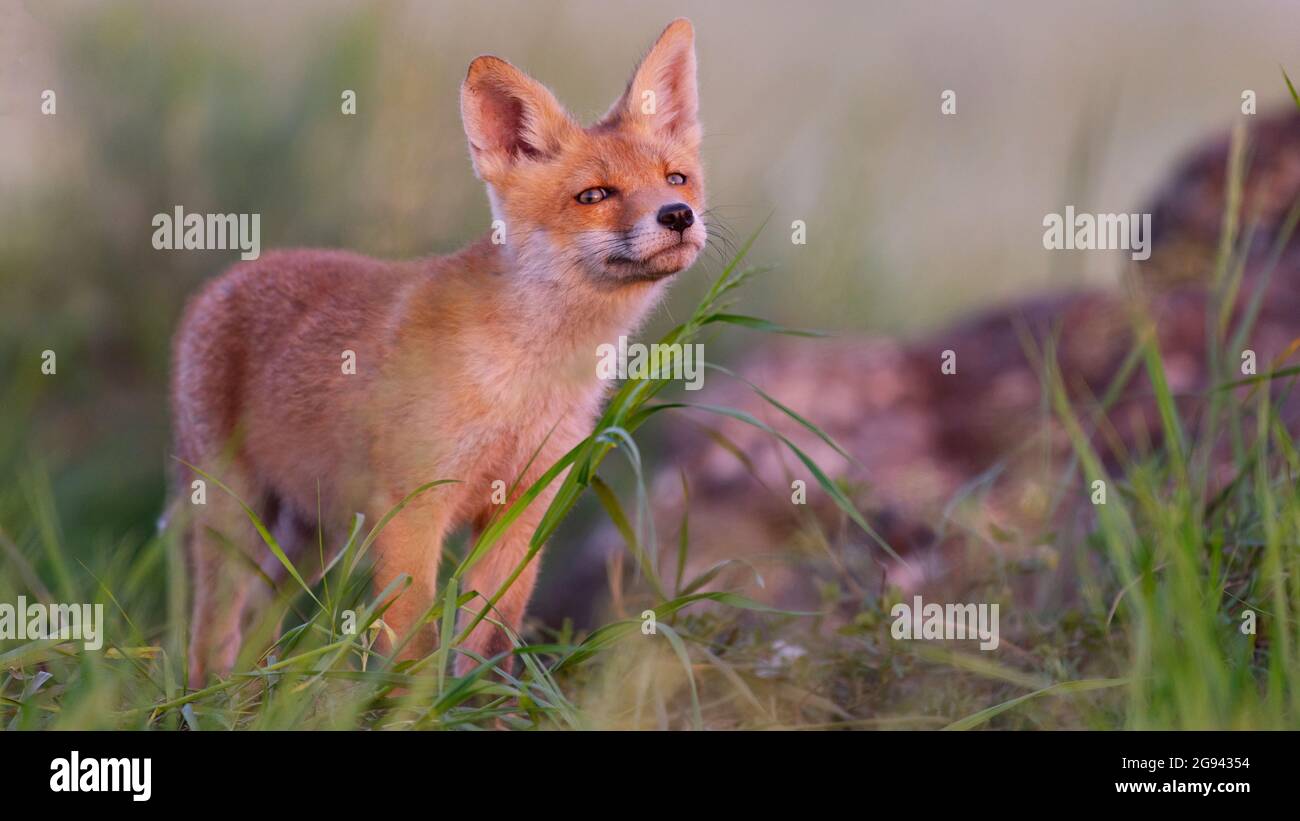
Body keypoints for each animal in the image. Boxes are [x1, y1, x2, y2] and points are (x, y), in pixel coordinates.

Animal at [171, 18, 706, 682]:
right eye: (594, 195)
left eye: (675, 179)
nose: (678, 215)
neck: (528, 383)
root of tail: (223, 279)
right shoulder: (413, 509)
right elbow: (413, 647)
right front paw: (406, 701)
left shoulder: (522, 508)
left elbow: (489, 646)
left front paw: (480, 702)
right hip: (233, 515)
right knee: (211, 634)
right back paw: (205, 697)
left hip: (316, 537)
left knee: (259, 623)